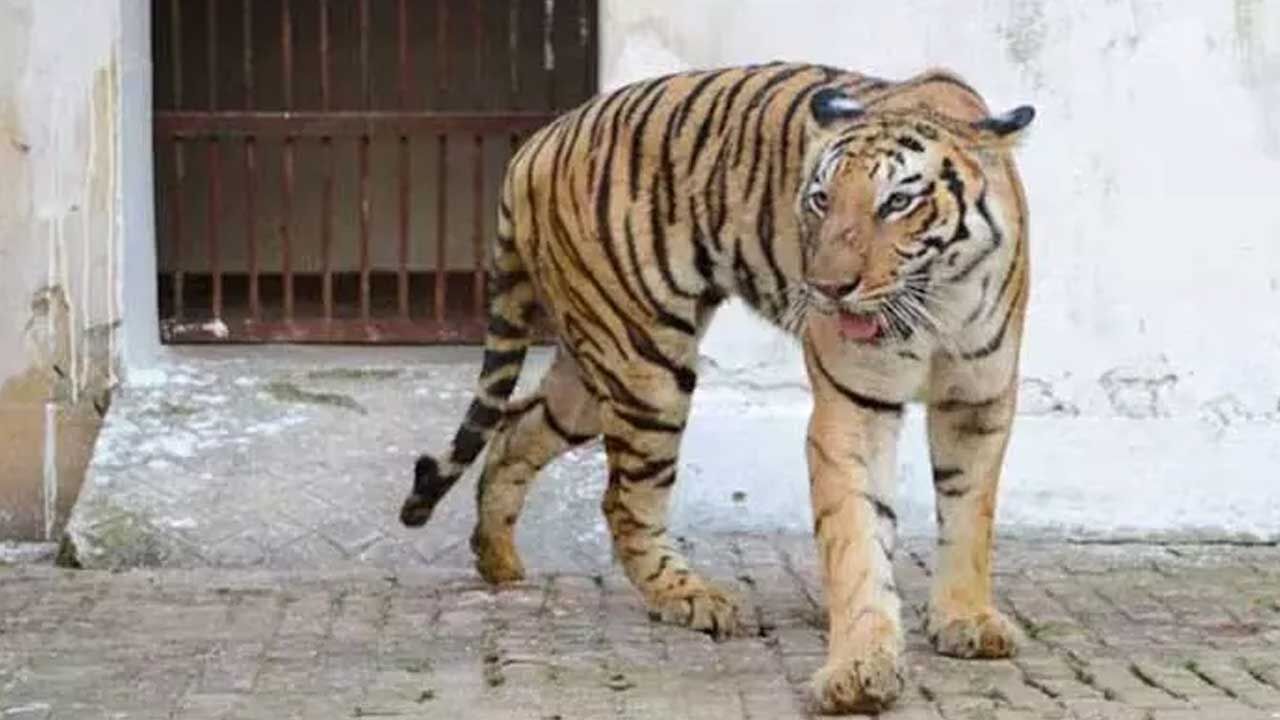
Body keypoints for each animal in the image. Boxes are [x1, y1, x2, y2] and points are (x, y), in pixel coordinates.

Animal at [399, 61, 1034, 714]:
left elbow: (968, 516)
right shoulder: (853, 406)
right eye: (820, 200)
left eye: (898, 203)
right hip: (645, 363)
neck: (937, 305)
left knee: (517, 426)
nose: (827, 289)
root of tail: (536, 144)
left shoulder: (978, 402)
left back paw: (497, 556)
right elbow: (858, 540)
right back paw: (692, 597)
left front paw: (966, 620)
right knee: (623, 501)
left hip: (592, 370)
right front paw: (859, 671)